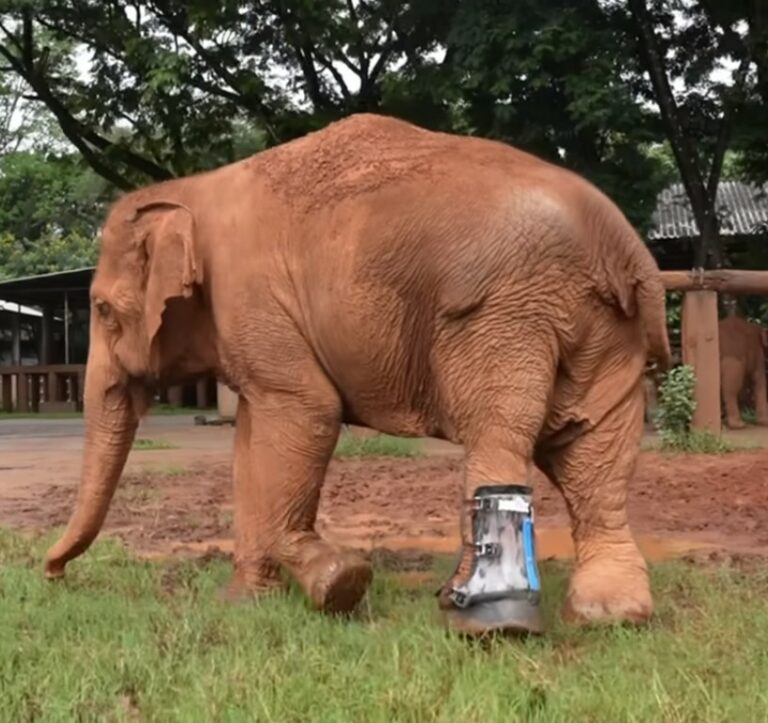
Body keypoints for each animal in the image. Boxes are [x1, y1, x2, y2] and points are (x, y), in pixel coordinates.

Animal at [43, 113, 670, 635]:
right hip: (604, 327)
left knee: (499, 434)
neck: (192, 187)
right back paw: (610, 612)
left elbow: (306, 414)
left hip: (504, 309)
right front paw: (245, 602)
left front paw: (340, 582)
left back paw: (481, 618)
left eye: (102, 310)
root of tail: (619, 245)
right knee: (589, 448)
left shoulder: (254, 298)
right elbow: (252, 443)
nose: (52, 575)